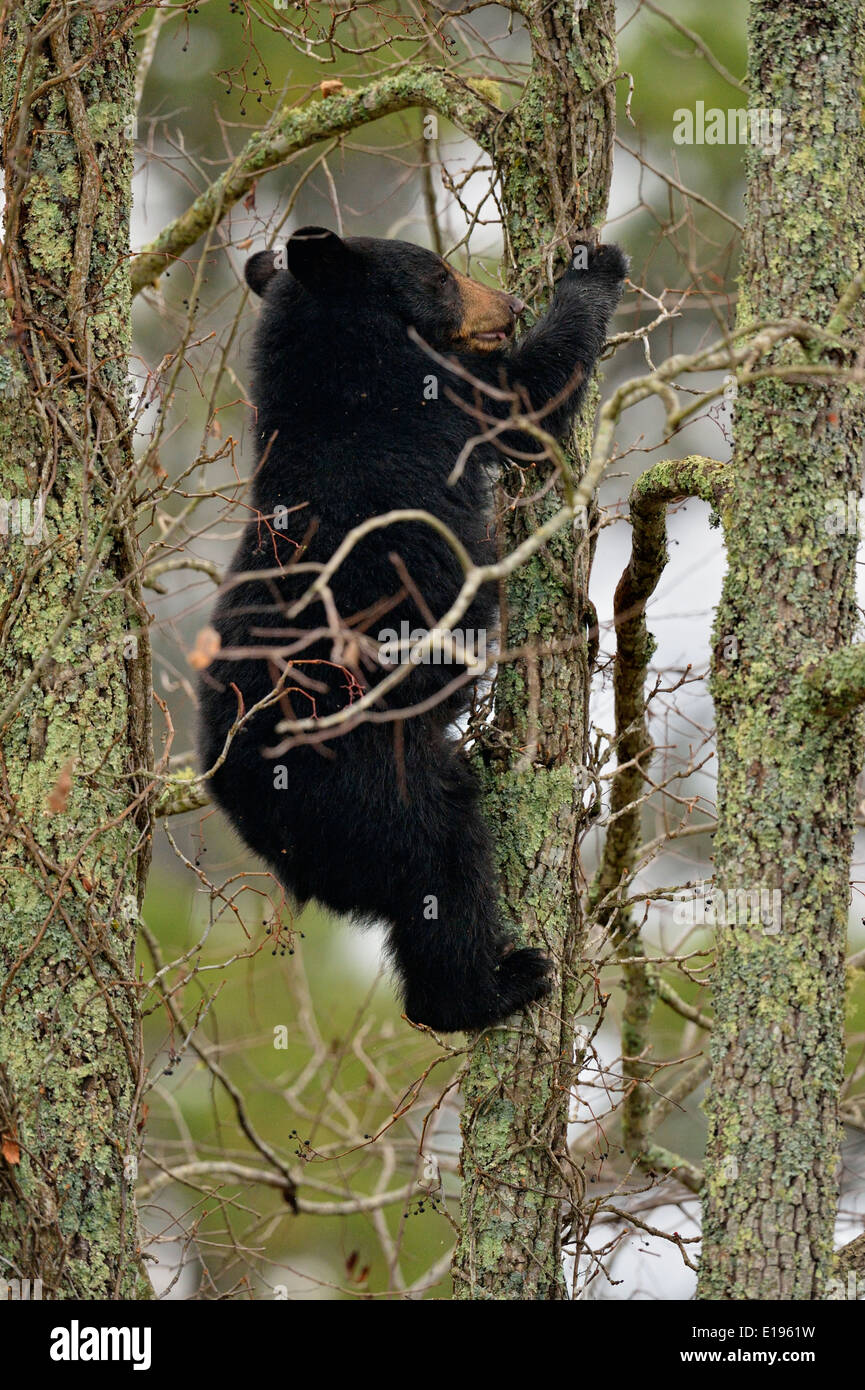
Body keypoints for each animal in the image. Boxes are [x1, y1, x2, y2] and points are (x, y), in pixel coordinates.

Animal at [197, 226, 627, 1032]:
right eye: (439, 272)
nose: (508, 302)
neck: (342, 363)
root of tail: (251, 811)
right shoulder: (427, 399)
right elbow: (524, 397)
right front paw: (594, 268)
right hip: (374, 784)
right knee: (442, 867)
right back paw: (497, 984)